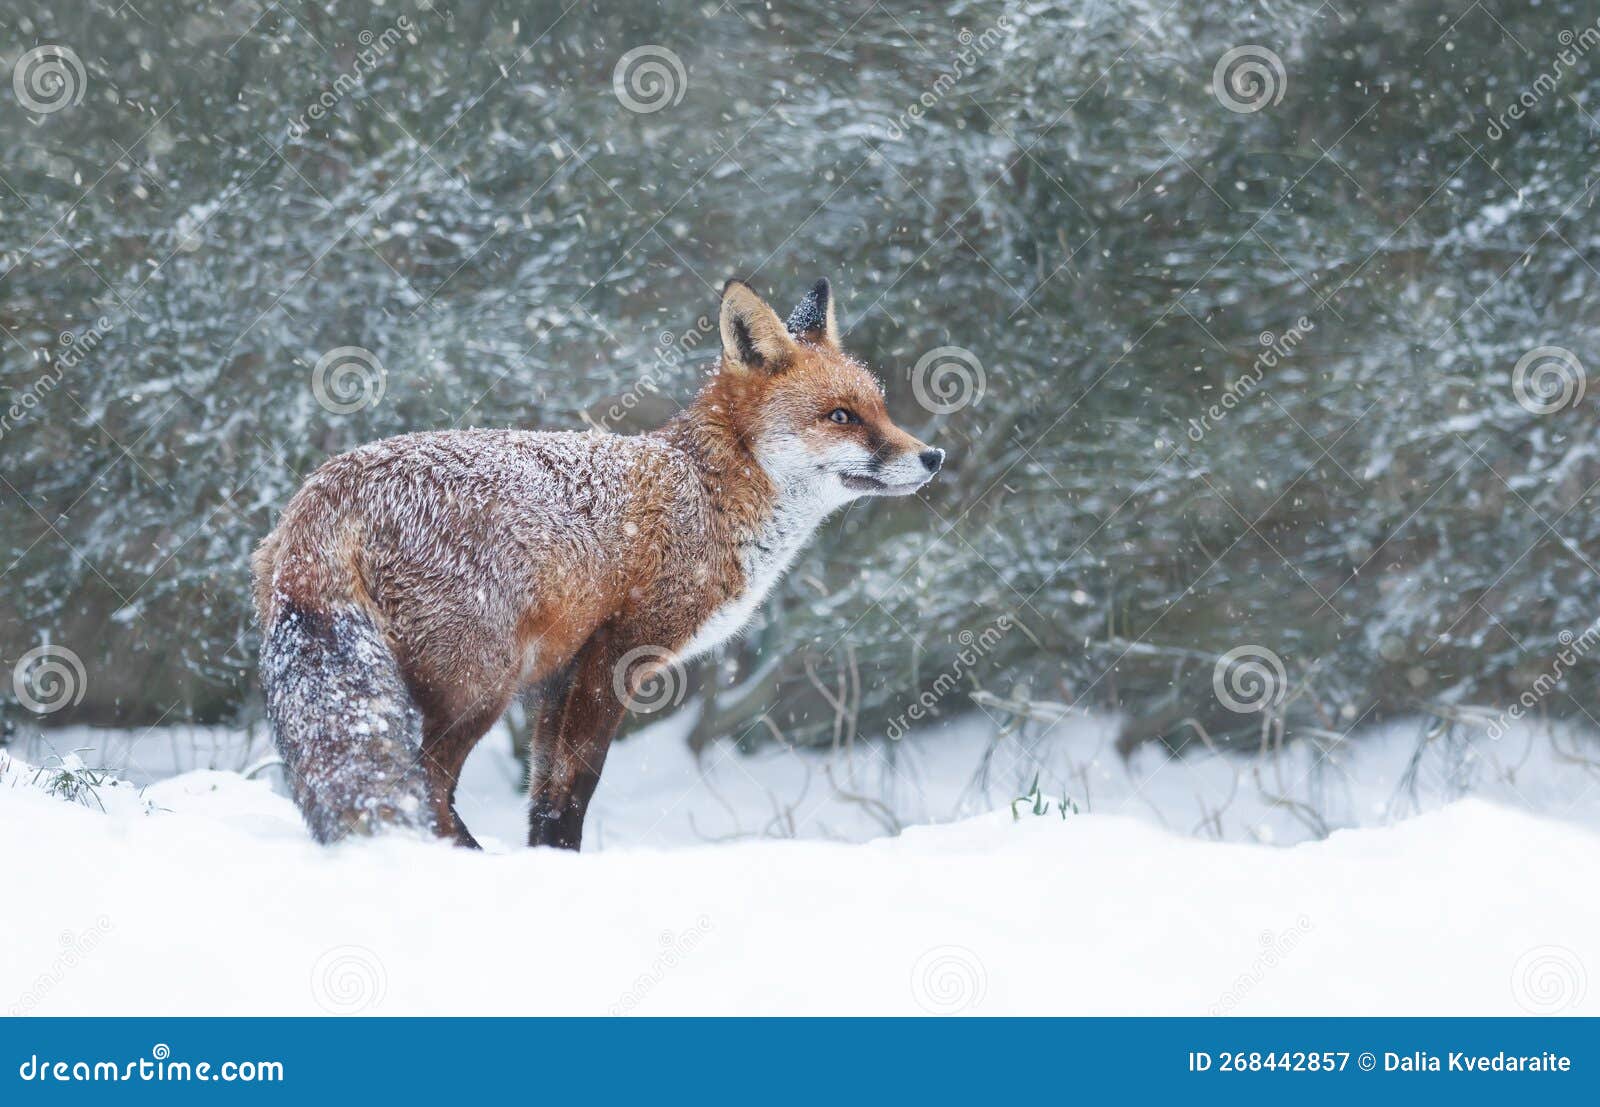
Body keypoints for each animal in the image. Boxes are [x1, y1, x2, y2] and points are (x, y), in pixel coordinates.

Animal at [252, 278, 944, 850]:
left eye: (881, 409)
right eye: (841, 417)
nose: (932, 456)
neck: (708, 494)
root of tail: (325, 487)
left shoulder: (560, 675)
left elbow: (543, 799)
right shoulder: (617, 655)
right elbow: (574, 794)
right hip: (480, 687)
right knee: (427, 783)